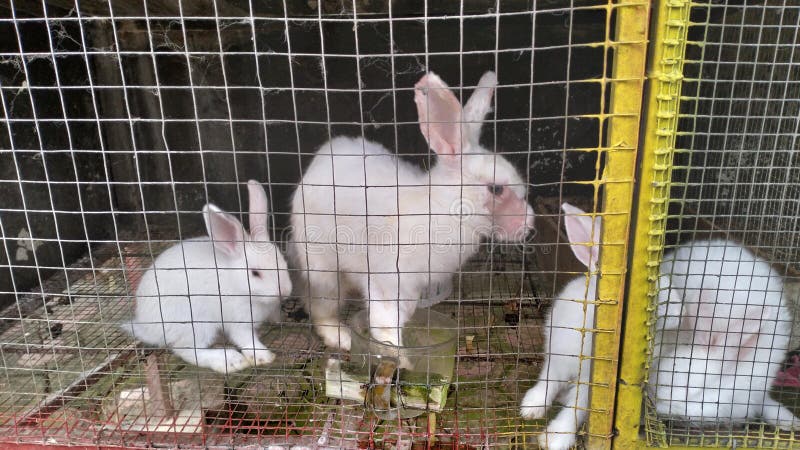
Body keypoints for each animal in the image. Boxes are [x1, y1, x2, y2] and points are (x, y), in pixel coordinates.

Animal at [124, 180, 292, 374]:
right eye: (255, 273)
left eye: (283, 262)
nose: (285, 291)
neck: (237, 283)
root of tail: (147, 327)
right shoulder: (238, 320)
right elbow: (246, 339)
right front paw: (264, 356)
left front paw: (280, 319)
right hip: (196, 324)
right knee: (189, 351)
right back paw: (230, 361)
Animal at [289, 71, 535, 356]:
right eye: (496, 189)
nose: (529, 224)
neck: (441, 207)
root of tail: (317, 162)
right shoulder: (388, 282)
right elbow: (384, 325)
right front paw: (397, 354)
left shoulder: (410, 290)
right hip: (324, 269)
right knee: (319, 307)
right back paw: (341, 338)